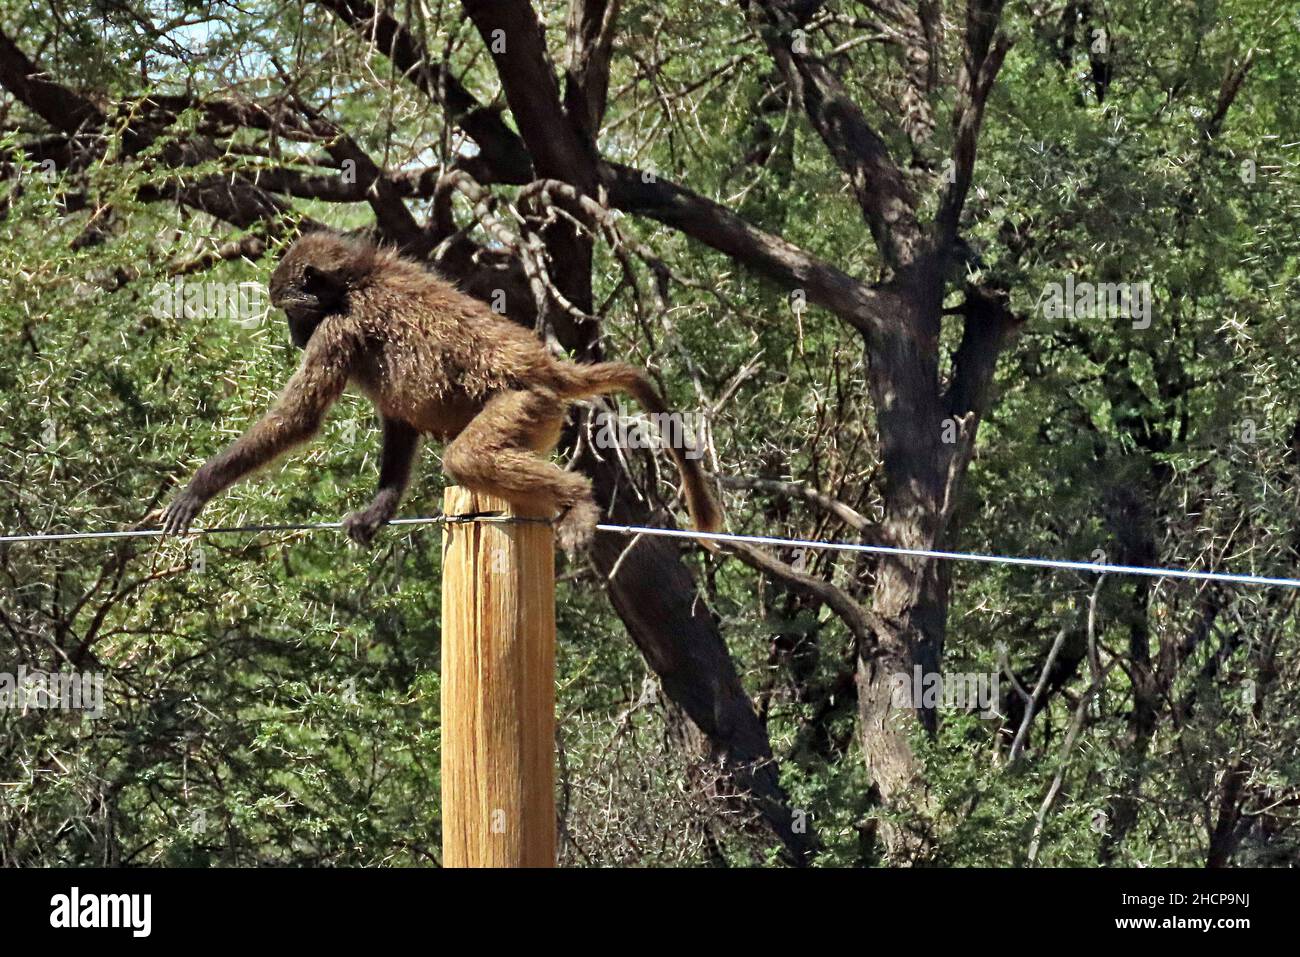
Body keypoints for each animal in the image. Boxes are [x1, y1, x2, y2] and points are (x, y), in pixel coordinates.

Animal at [158, 231, 723, 554]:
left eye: (292, 313)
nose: (295, 339)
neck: (356, 281)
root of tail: (545, 365)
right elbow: (397, 417)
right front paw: (379, 508)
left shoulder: (337, 331)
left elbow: (300, 417)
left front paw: (197, 488)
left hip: (524, 403)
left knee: (467, 458)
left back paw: (579, 501)